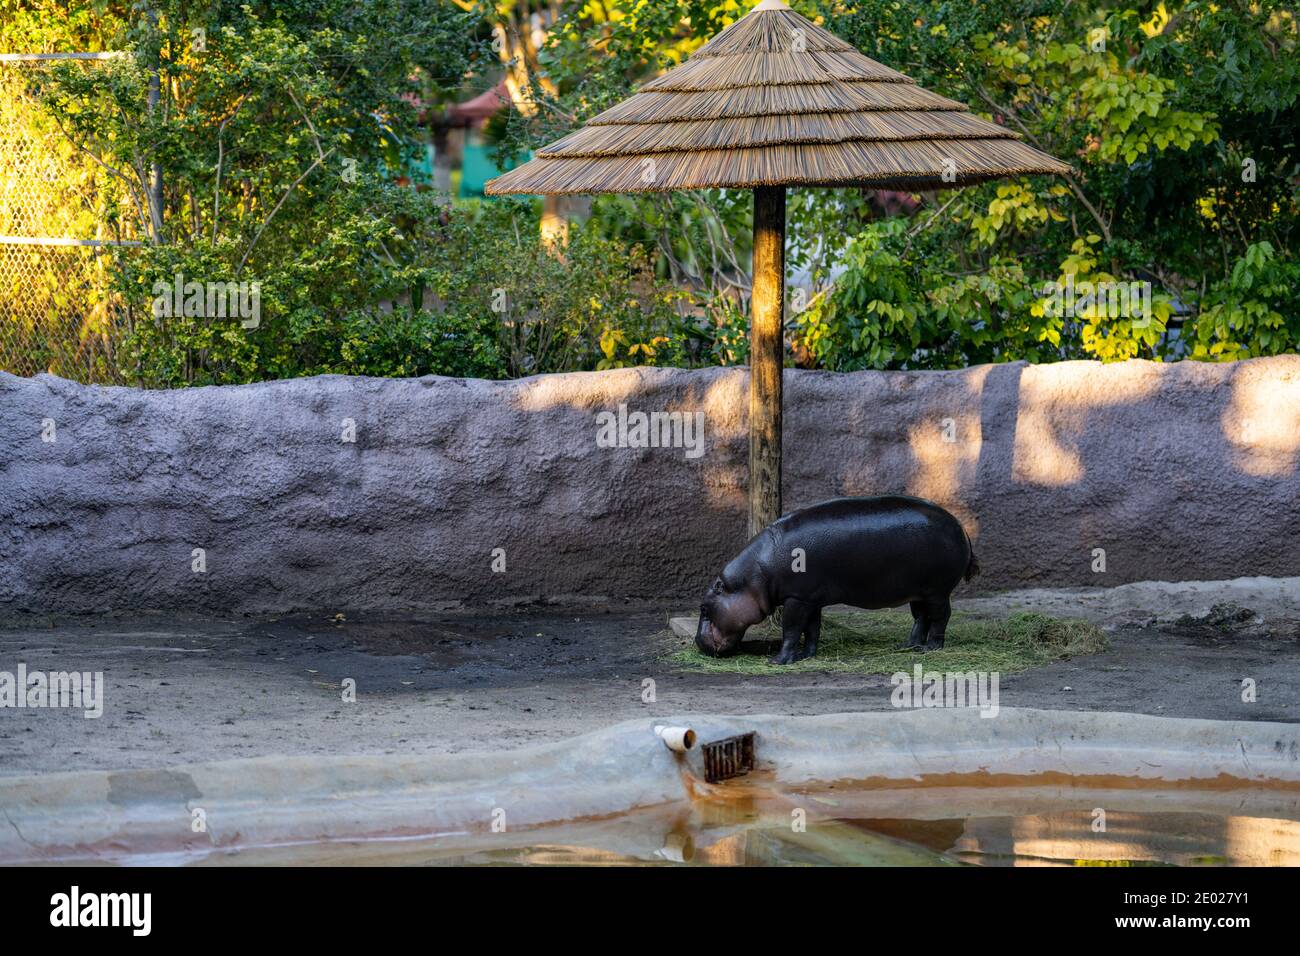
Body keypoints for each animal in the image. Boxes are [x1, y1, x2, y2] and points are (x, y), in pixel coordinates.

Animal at [695, 495, 979, 664]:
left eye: (704, 608)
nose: (698, 643)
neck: (754, 575)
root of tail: (962, 527)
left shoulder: (796, 598)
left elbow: (791, 628)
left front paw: (778, 660)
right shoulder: (810, 599)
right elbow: (811, 629)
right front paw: (807, 655)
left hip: (937, 591)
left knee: (940, 617)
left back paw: (932, 648)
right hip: (917, 591)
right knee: (920, 617)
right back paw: (907, 646)